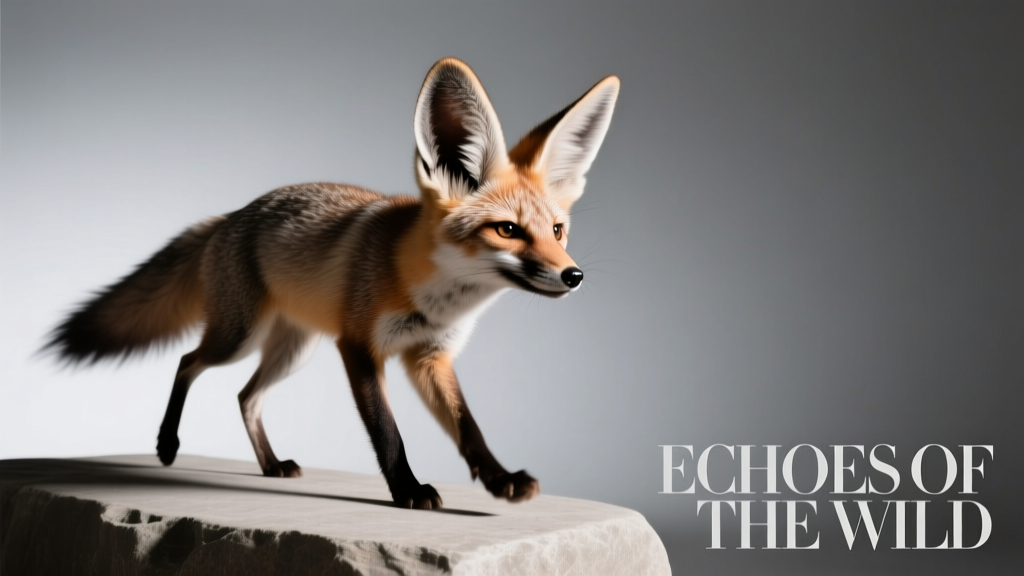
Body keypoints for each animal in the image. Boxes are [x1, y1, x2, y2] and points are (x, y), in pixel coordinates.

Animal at [45, 58, 619, 509]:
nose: (573, 275)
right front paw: (408, 491)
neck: (434, 296)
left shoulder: (429, 357)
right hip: (239, 337)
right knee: (188, 362)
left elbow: (469, 428)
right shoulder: (359, 347)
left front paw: (500, 481)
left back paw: (270, 465)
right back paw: (167, 444)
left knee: (245, 396)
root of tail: (232, 214)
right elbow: (387, 432)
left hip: (292, 350)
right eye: (507, 230)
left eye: (557, 231)